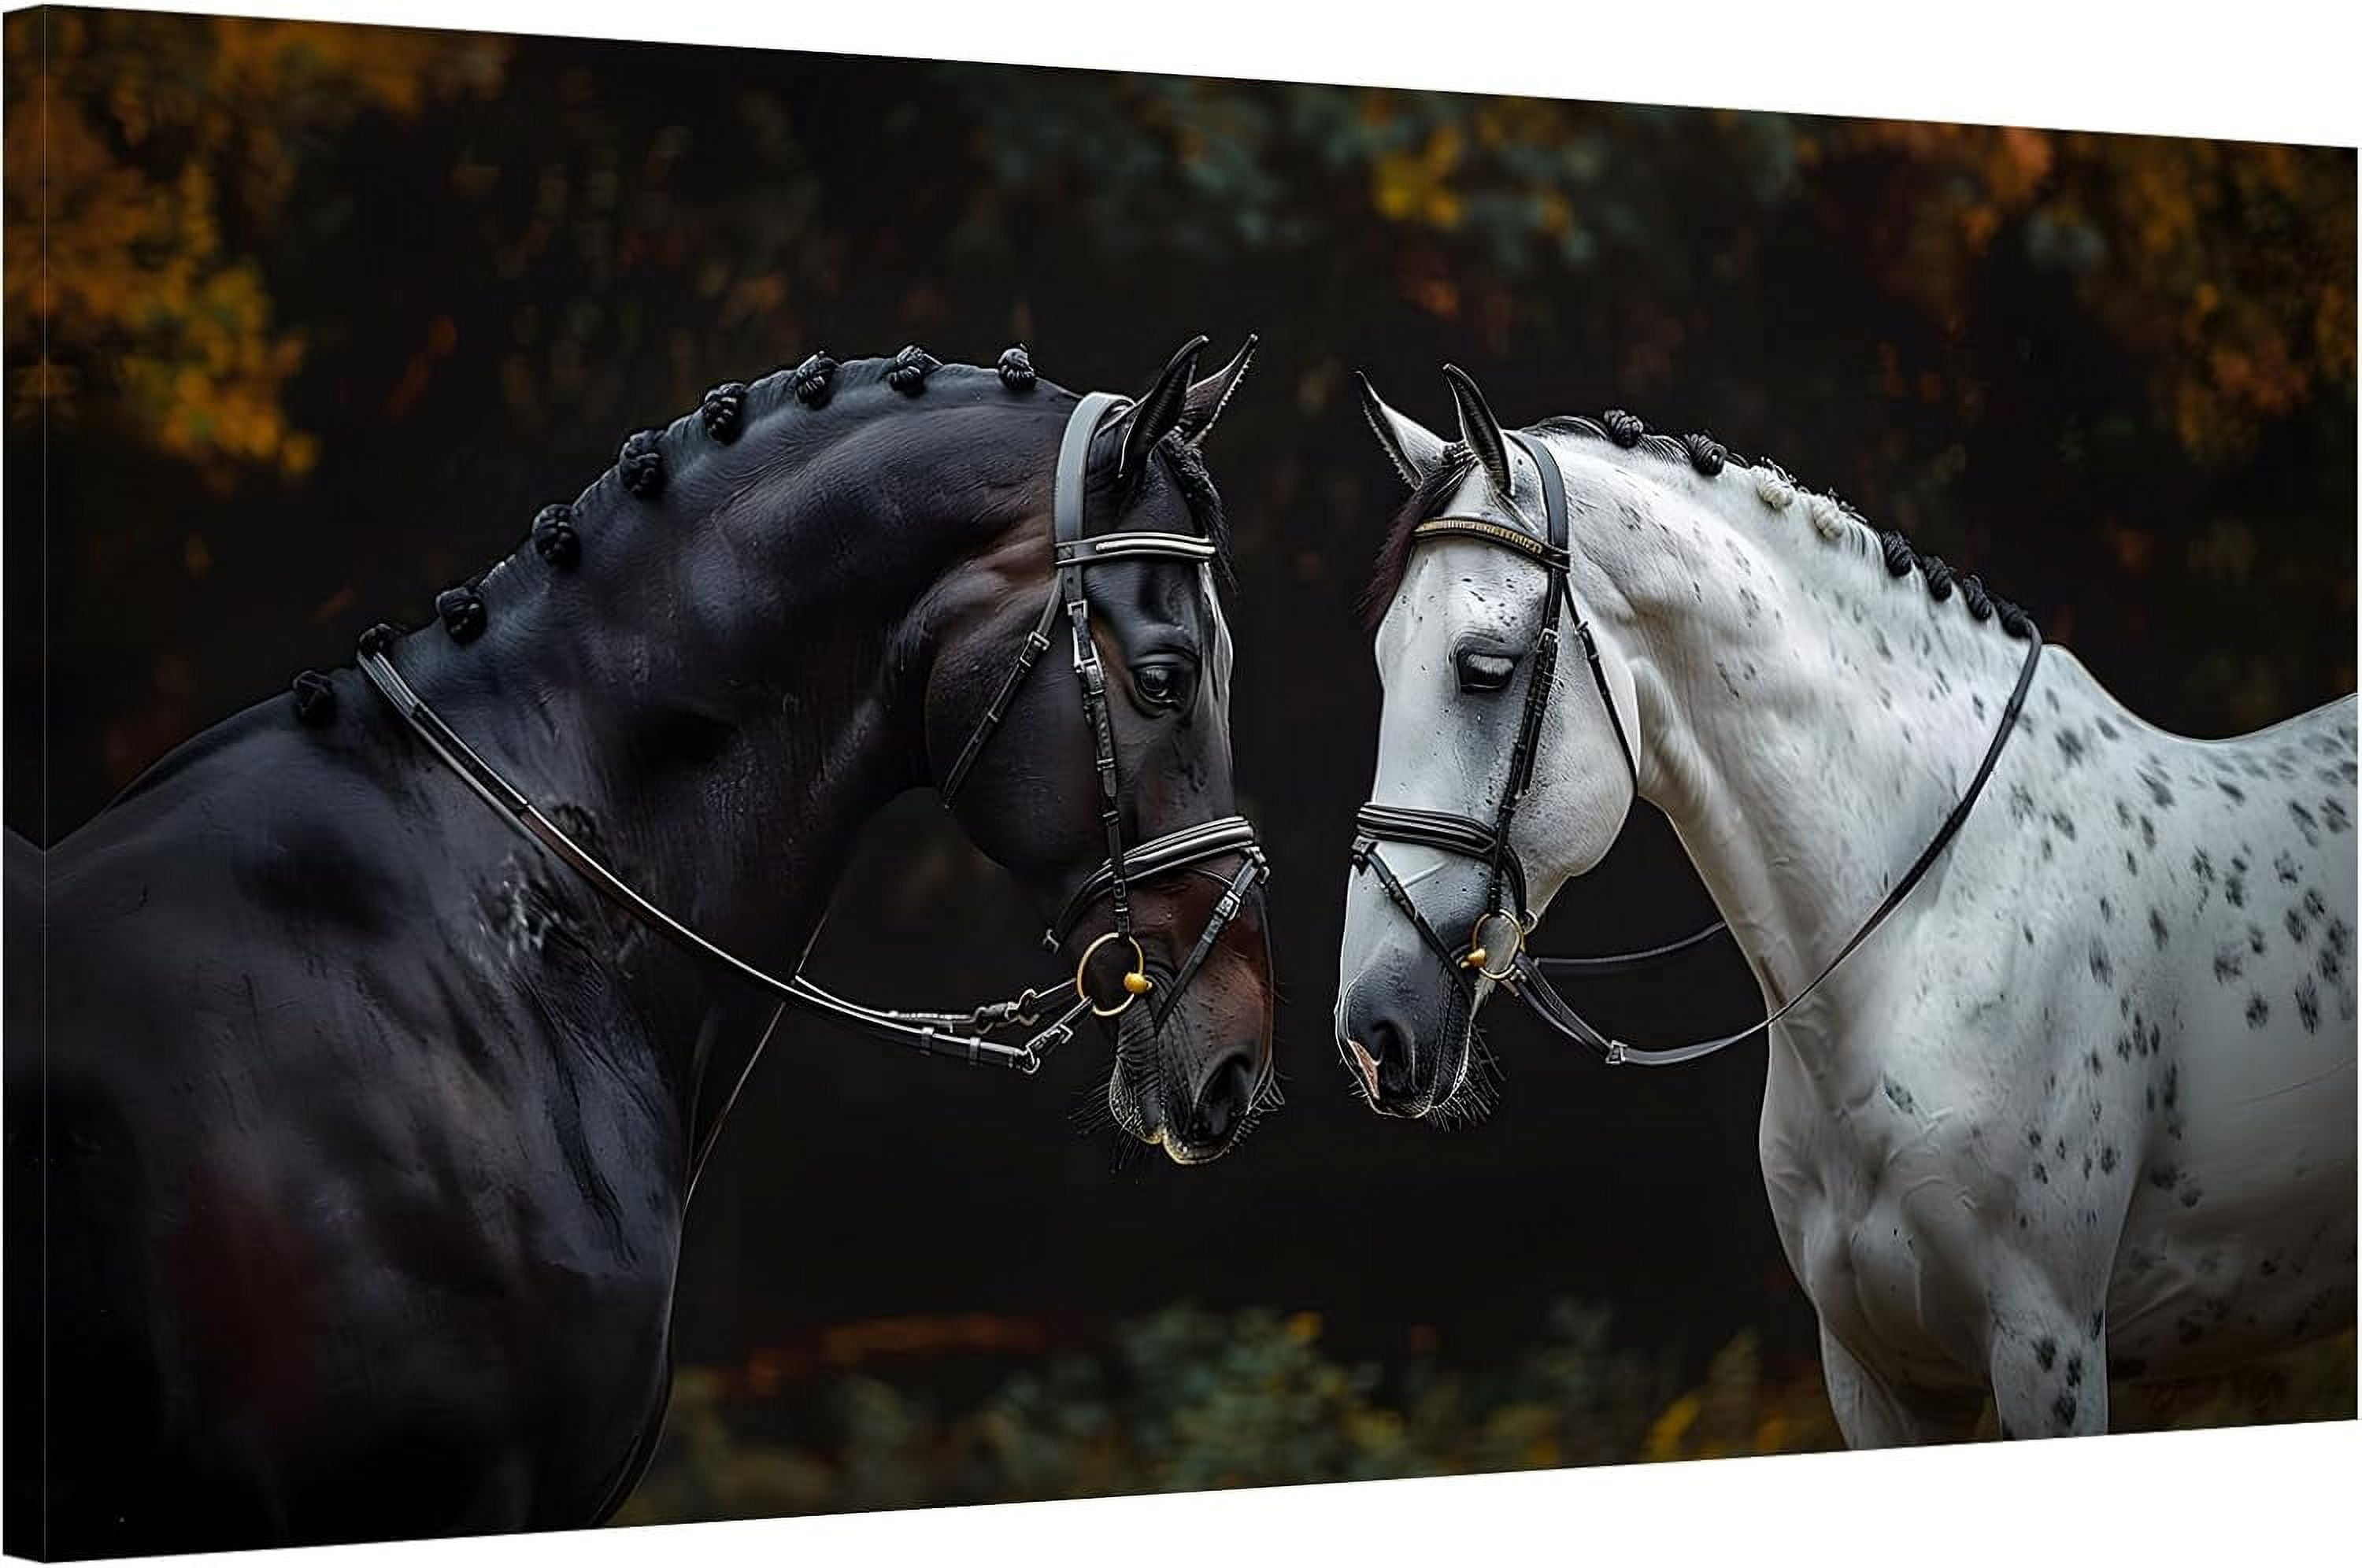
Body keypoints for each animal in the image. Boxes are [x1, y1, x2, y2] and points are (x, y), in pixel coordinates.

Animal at [1333, 364, 2356, 1446]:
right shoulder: (1870, 1371)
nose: (1373, 1032)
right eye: (1386, 663)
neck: (1918, 944)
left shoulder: (2049, 1348)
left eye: (1483, 669)